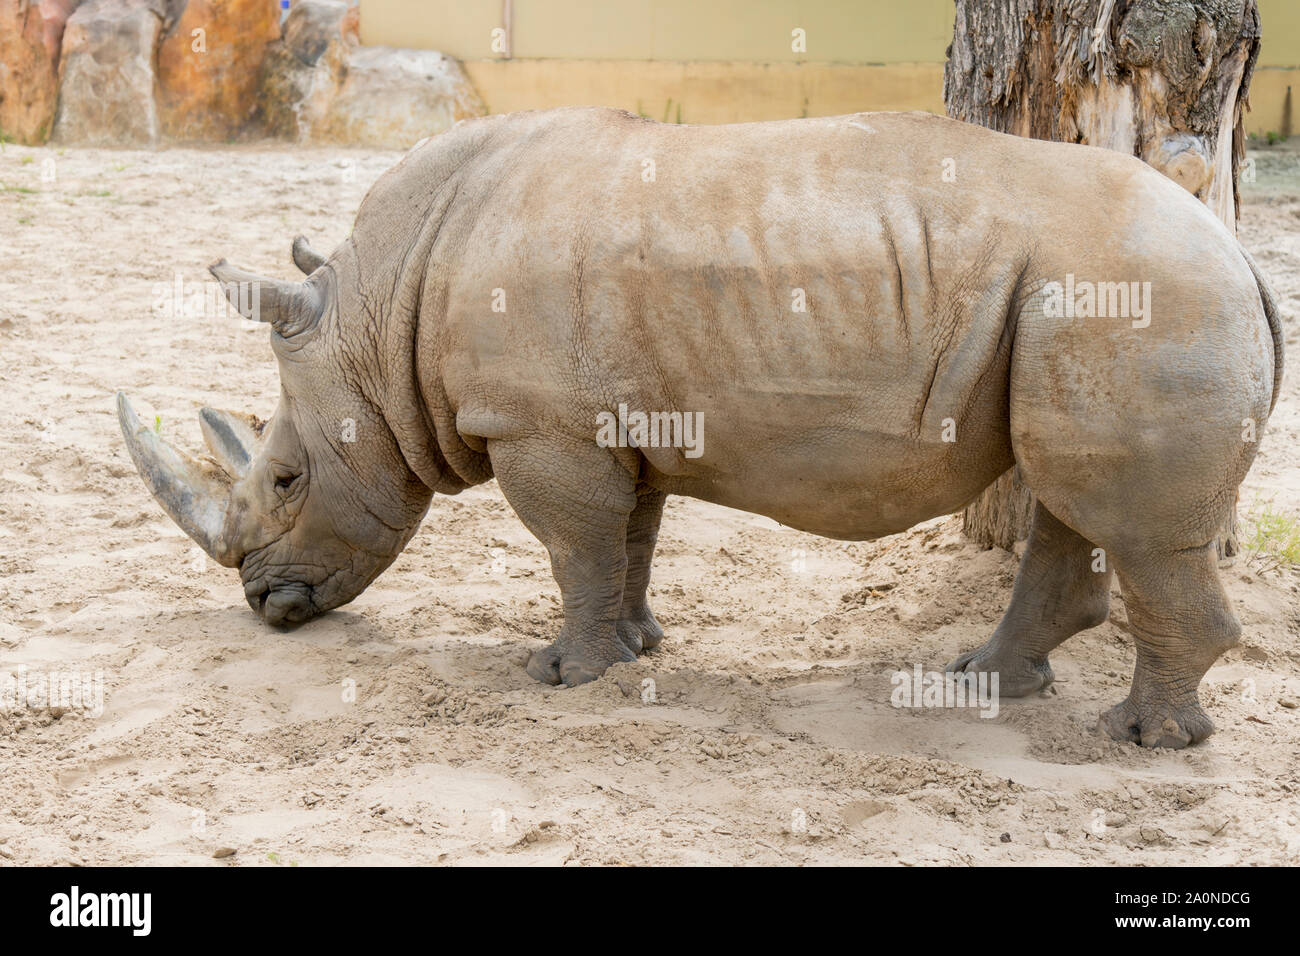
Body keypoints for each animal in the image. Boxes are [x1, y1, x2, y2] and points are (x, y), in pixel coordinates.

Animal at [117, 108, 1282, 749]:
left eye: (285, 479)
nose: (264, 604)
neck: (378, 314)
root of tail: (1239, 252)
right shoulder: (608, 422)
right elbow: (627, 537)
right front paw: (637, 647)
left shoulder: (542, 426)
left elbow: (574, 543)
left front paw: (561, 677)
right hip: (1093, 300)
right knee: (1071, 497)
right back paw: (981, 681)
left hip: (1136, 294)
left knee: (1122, 518)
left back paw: (1139, 740)